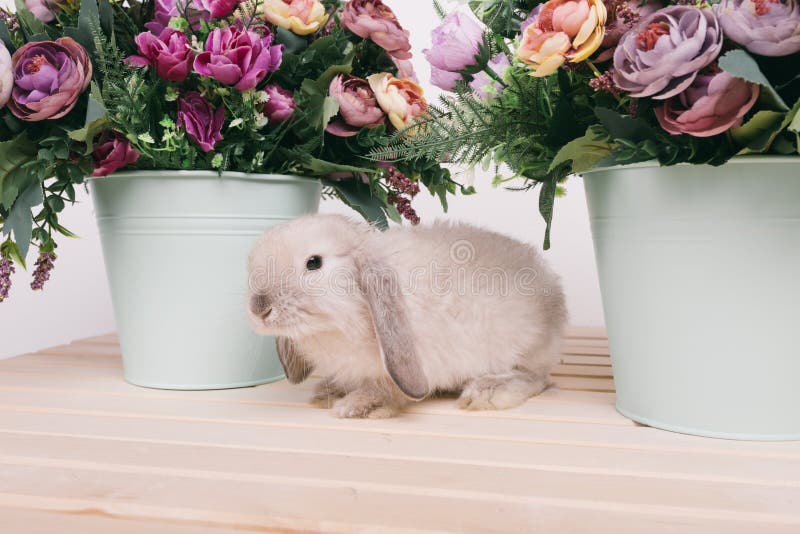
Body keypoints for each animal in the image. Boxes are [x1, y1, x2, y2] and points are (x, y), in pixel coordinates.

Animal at [246, 214, 567, 419]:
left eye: (314, 262)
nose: (259, 308)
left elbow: (387, 389)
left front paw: (358, 405)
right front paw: (331, 391)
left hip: (524, 348)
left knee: (535, 378)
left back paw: (486, 391)